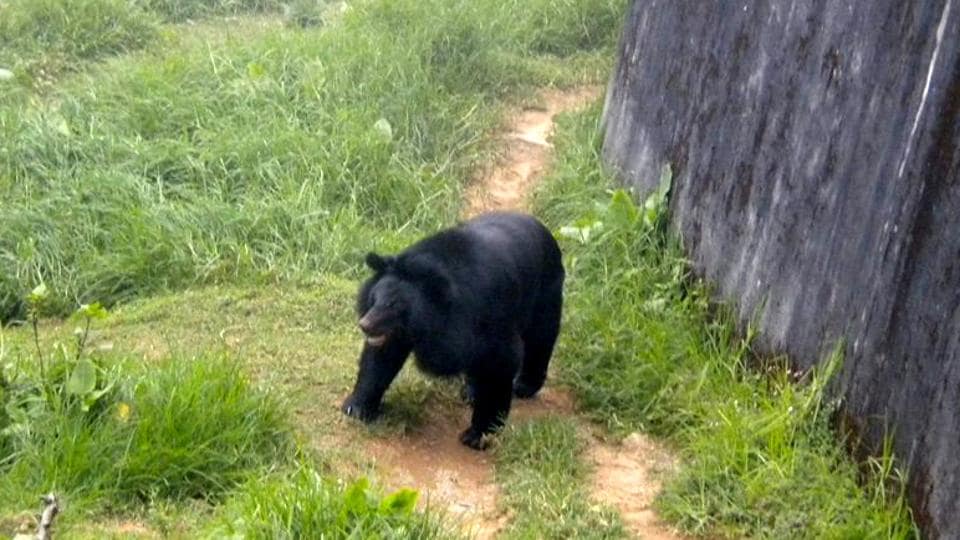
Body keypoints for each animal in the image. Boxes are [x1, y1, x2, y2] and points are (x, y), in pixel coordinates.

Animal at [340, 211, 564, 450]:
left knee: (541, 339)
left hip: (546, 292)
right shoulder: (397, 334)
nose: (365, 324)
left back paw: (523, 386)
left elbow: (500, 364)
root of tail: (542, 228)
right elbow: (380, 360)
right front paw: (356, 408)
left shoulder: (489, 318)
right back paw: (471, 391)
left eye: (394, 306)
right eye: (374, 299)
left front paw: (478, 435)